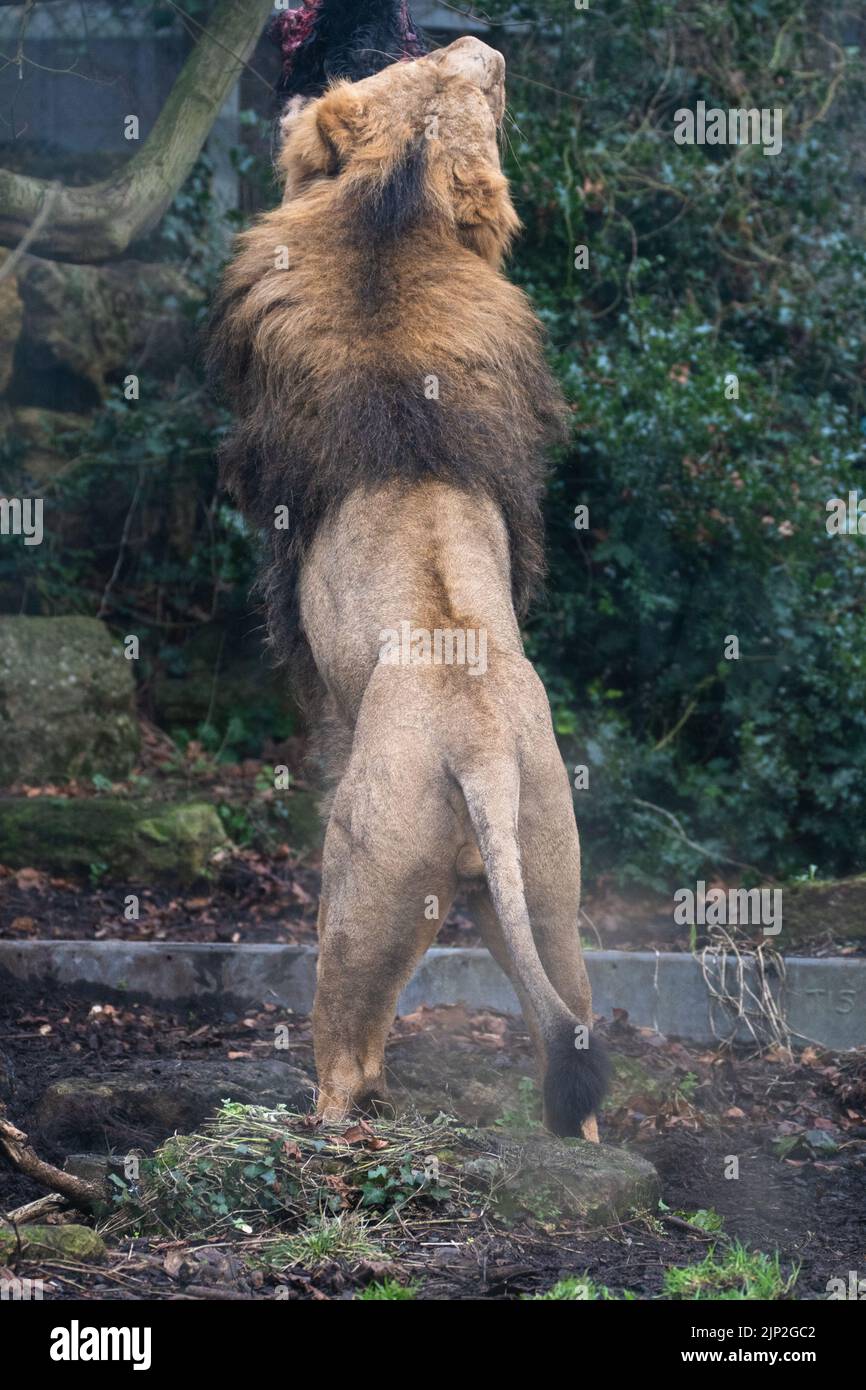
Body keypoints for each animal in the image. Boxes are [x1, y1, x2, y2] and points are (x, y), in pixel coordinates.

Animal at [208, 36, 609, 1139]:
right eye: (436, 65)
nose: (483, 42)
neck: (387, 223)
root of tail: (480, 750)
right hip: (548, 880)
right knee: (571, 1034)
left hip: (361, 879)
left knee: (347, 1046)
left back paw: (324, 1130)